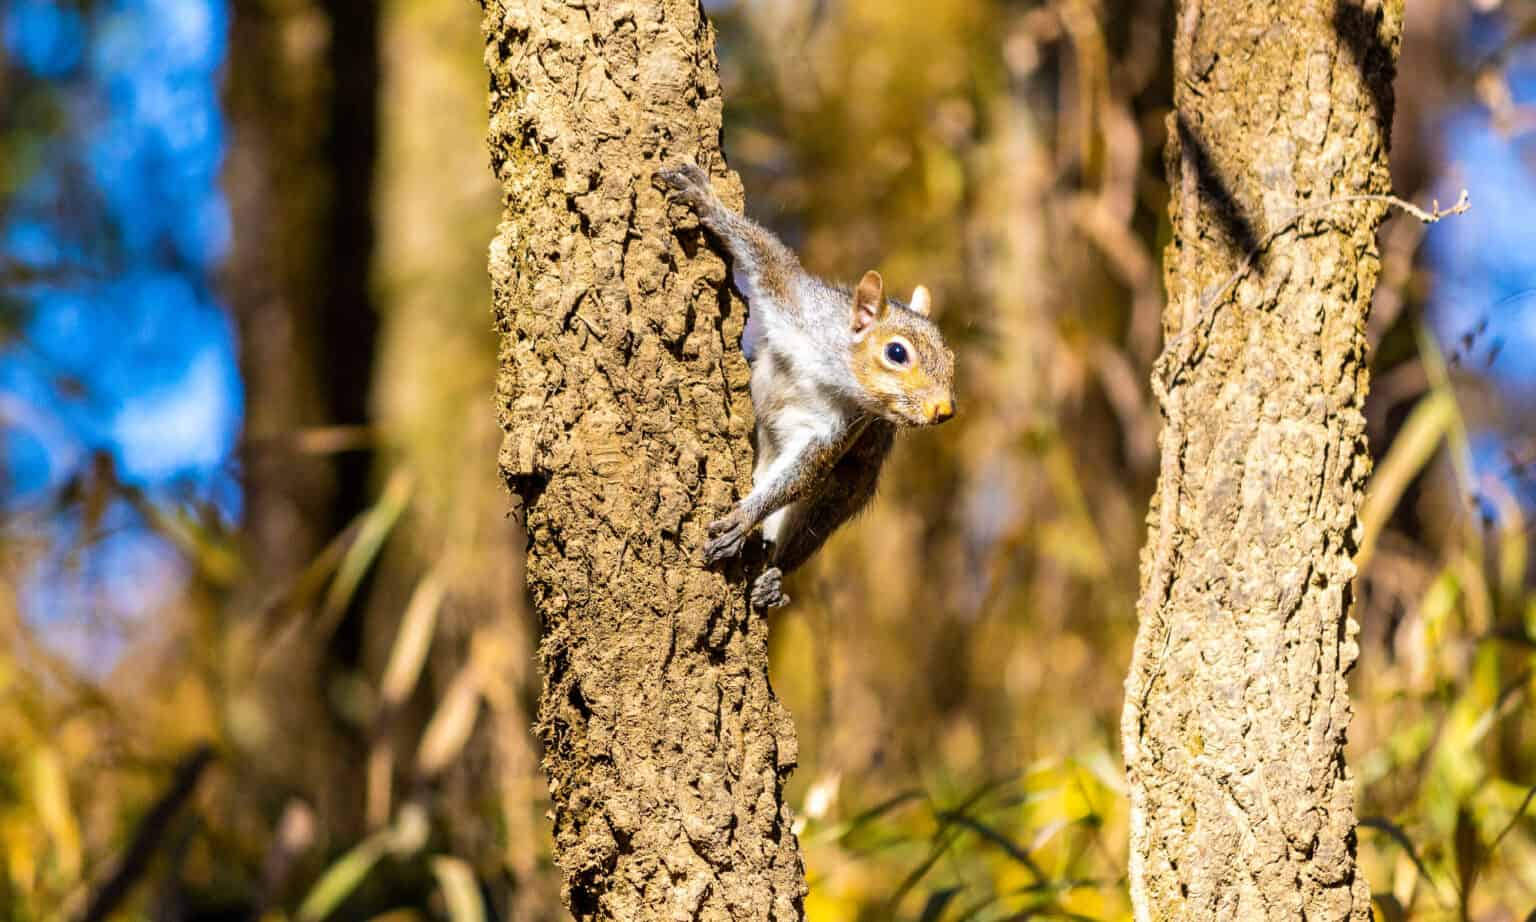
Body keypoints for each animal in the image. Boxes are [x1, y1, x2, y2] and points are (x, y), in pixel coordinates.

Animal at [656, 162, 956, 609]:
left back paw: (773, 575)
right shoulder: (792, 298)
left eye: (952, 360)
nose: (944, 410)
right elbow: (764, 252)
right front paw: (706, 200)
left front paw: (743, 518)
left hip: (840, 494)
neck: (827, 367)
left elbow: (804, 469)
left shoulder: (841, 426)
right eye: (896, 353)